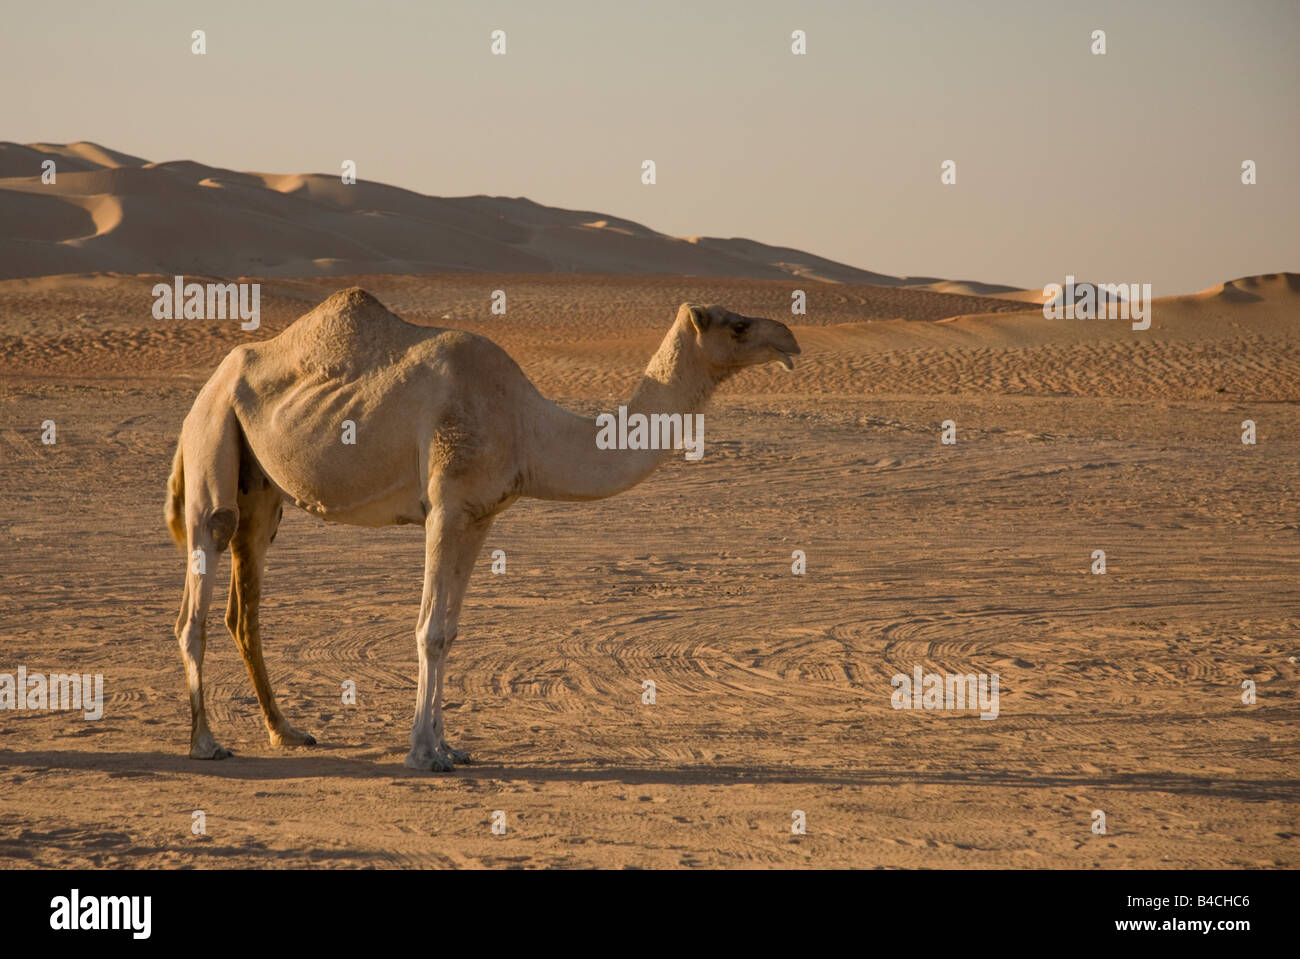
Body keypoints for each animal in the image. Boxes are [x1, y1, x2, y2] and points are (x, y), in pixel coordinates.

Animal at [165, 288, 800, 770]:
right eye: (739, 325)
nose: (791, 338)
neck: (527, 426)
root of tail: (205, 389)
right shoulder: (447, 504)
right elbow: (428, 630)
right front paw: (423, 754)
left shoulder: (481, 515)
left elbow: (449, 630)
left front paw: (449, 746)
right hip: (211, 439)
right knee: (200, 584)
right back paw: (205, 742)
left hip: (261, 488)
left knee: (244, 603)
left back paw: (287, 731)